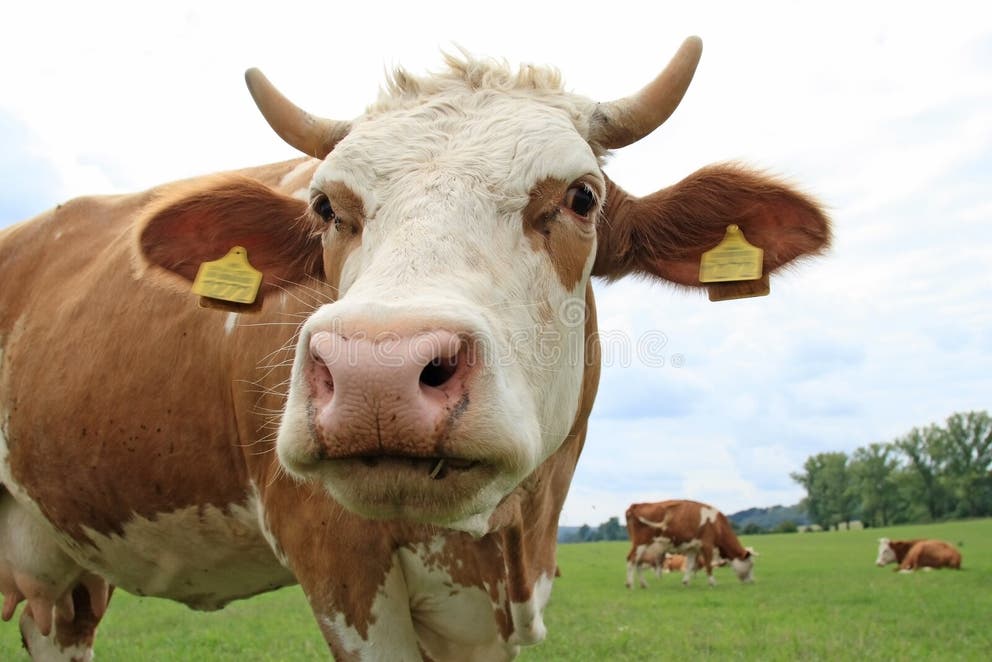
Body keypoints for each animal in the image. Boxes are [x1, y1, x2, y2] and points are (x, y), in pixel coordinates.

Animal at [625, 500, 756, 589]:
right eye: (751, 565)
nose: (752, 581)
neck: (717, 525)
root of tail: (636, 505)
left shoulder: (692, 548)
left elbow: (690, 565)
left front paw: (686, 582)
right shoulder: (707, 545)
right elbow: (708, 565)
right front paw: (712, 582)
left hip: (645, 548)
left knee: (638, 563)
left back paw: (644, 584)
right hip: (640, 544)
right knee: (631, 560)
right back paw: (630, 585)